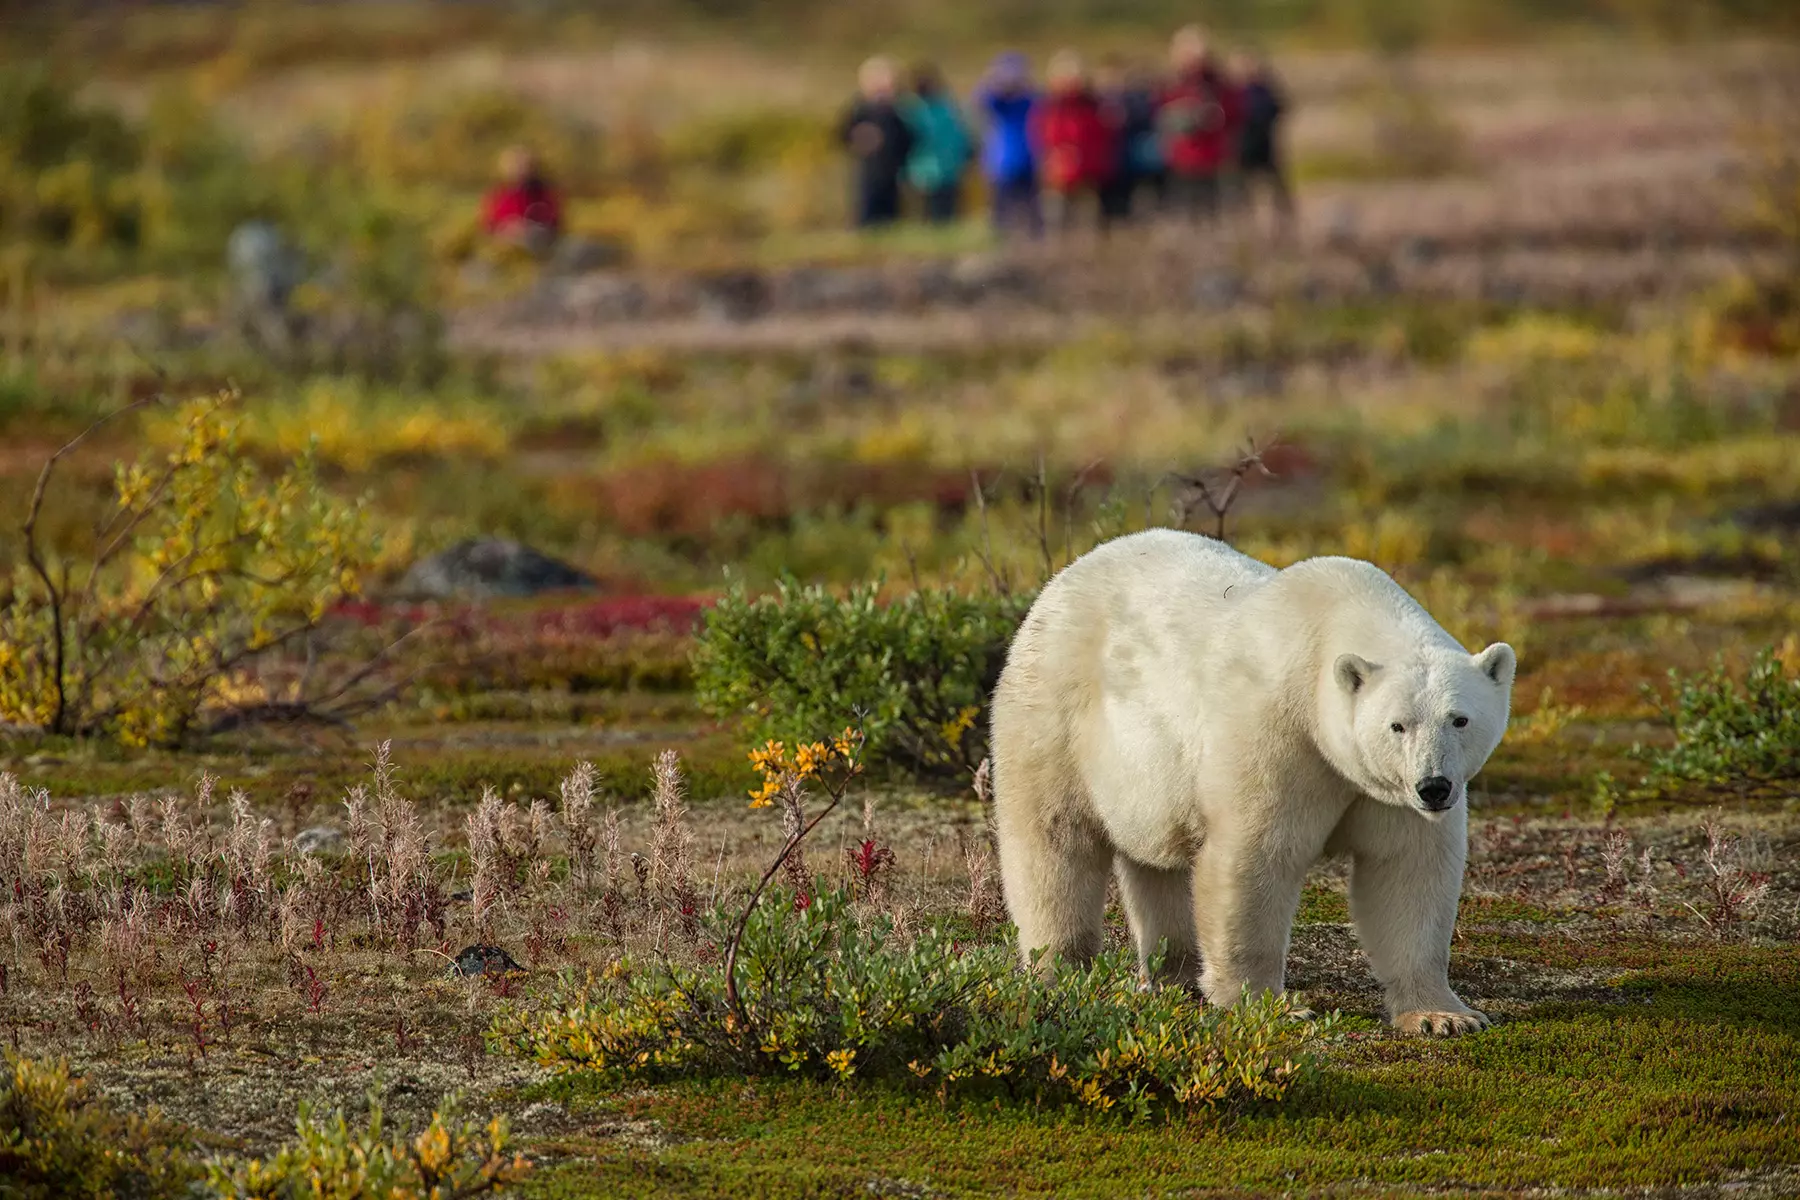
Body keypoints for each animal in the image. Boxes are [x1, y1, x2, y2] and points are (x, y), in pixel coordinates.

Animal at [993, 528, 1512, 1036]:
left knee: (1158, 862)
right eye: (1397, 725)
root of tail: (1064, 577)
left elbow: (1408, 869)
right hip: (1053, 713)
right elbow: (1255, 860)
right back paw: (1060, 970)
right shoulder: (1278, 733)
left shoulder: (1388, 794)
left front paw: (1444, 1016)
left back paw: (1173, 974)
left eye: (1459, 719)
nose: (1434, 786)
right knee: (1055, 842)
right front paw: (1271, 1006)